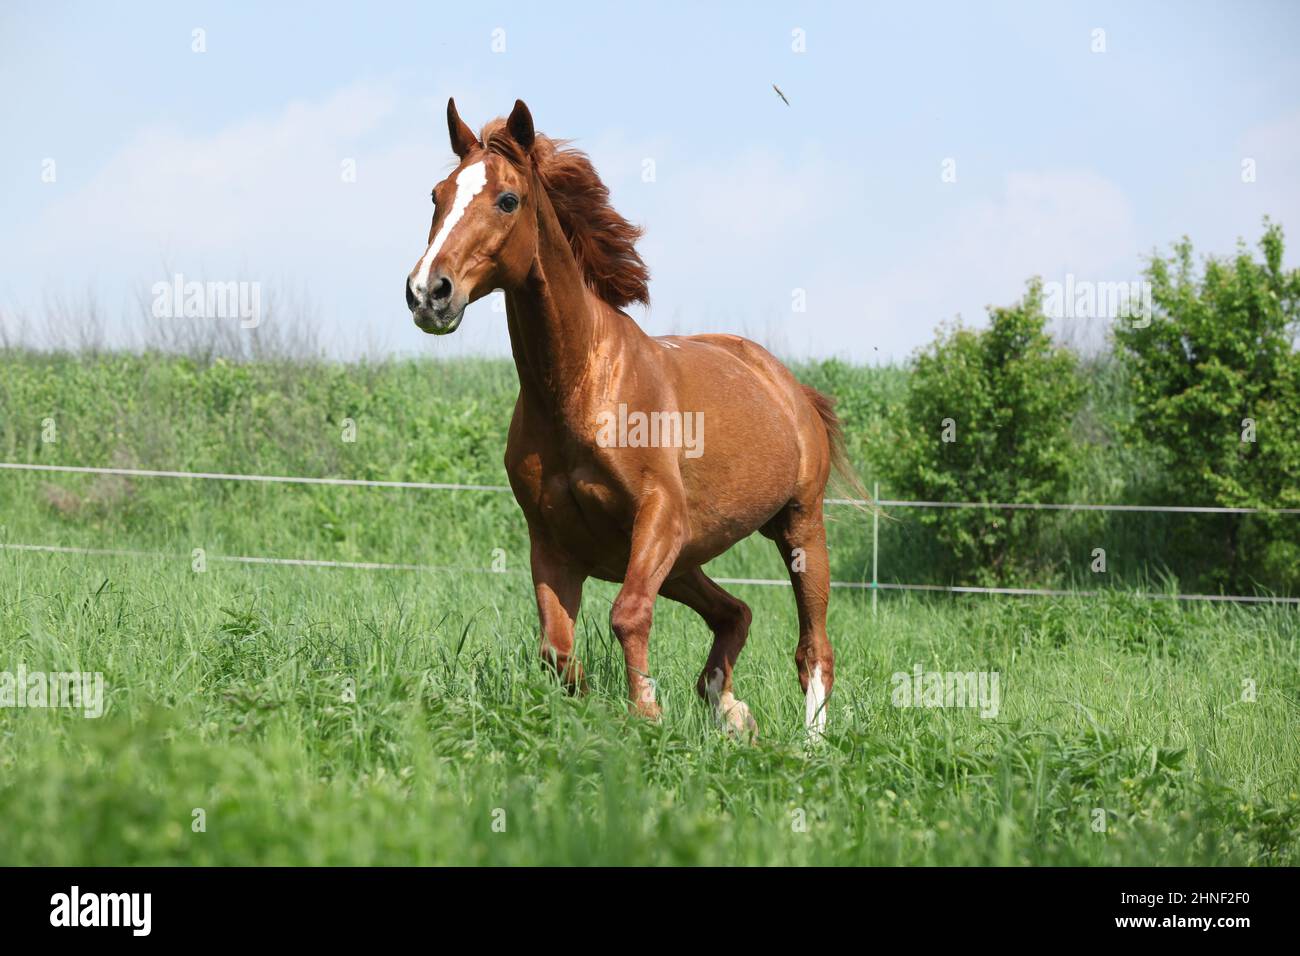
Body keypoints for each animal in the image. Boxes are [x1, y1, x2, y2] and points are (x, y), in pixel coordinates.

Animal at [405, 98, 859, 739]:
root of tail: (791, 388)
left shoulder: (659, 516)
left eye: (508, 200)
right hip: (684, 560)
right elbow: (557, 650)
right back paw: (730, 710)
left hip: (796, 528)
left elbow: (627, 615)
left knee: (812, 647)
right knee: (736, 612)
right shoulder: (552, 543)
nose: (428, 293)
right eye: (437, 194)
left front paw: (647, 713)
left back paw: (808, 742)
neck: (577, 389)